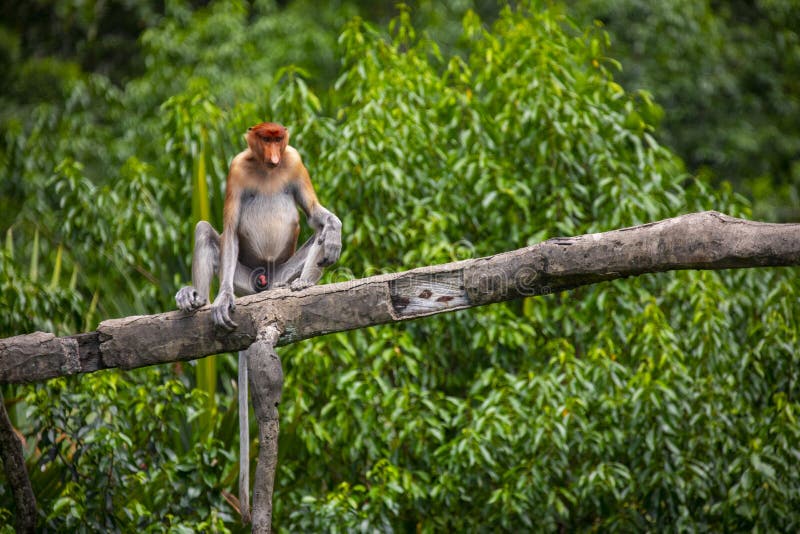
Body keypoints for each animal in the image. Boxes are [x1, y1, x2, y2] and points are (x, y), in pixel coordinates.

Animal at [174, 122, 341, 523]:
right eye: (265, 139)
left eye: (280, 139)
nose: (275, 155)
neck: (267, 169)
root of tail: (262, 284)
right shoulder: (237, 168)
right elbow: (230, 228)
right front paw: (219, 301)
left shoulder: (295, 160)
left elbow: (316, 215)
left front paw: (335, 230)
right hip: (243, 277)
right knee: (206, 231)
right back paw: (198, 300)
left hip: (278, 271)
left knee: (316, 234)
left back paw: (301, 284)